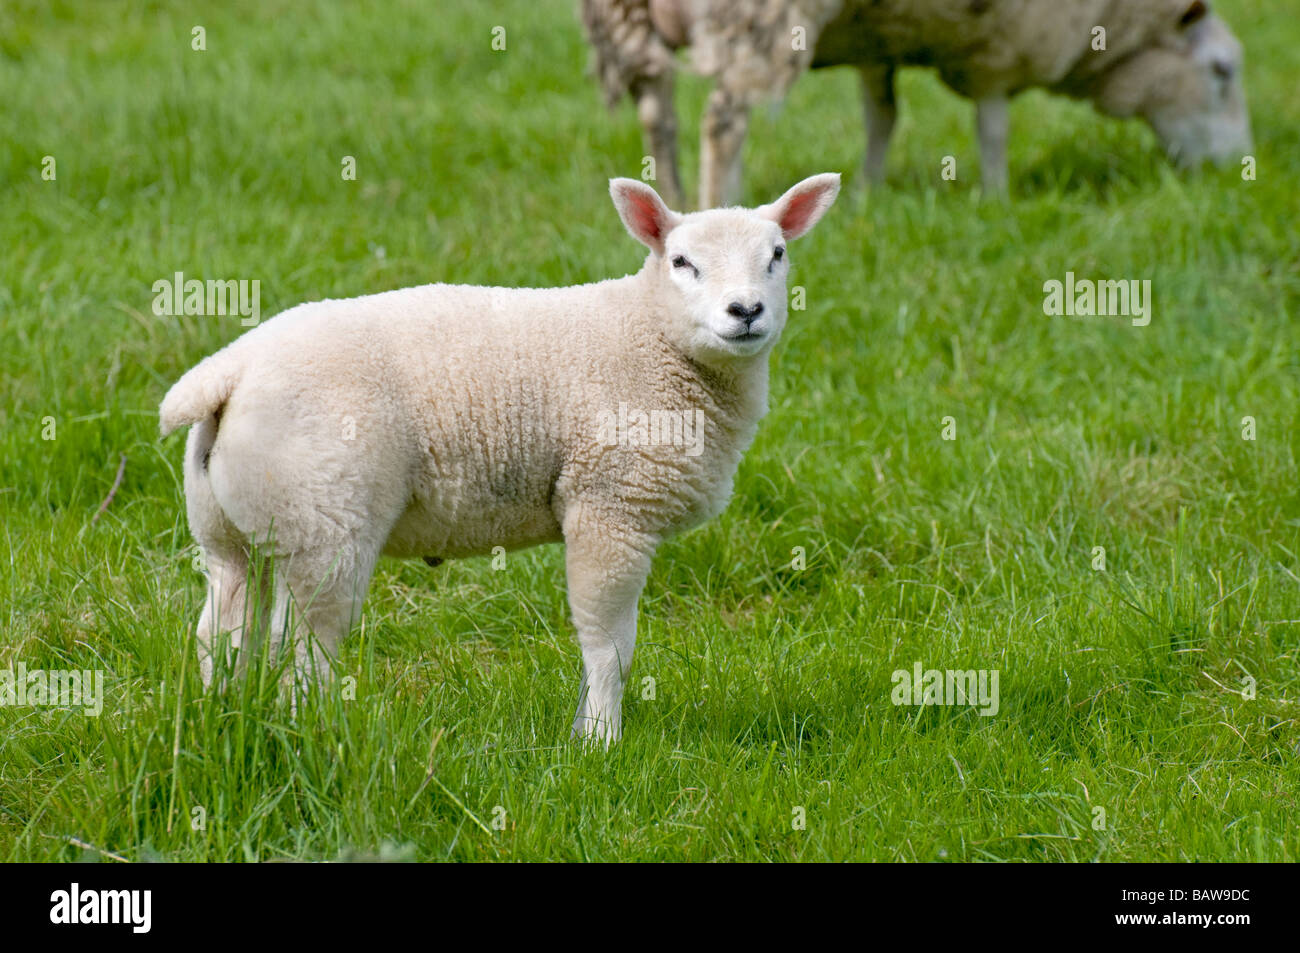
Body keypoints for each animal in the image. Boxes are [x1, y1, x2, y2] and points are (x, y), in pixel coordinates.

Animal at [159, 172, 841, 744]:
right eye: (681, 262)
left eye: (777, 255)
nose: (746, 311)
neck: (651, 337)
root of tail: (228, 370)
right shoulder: (611, 507)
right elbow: (610, 646)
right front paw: (600, 742)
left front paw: (585, 734)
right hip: (324, 521)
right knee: (302, 646)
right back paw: (316, 735)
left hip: (230, 528)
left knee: (223, 633)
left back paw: (221, 718)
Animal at [580, 0, 1254, 203]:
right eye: (1222, 72)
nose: (1233, 168)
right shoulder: (1000, 48)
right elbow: (993, 128)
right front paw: (997, 198)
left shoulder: (877, 40)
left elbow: (882, 116)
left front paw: (868, 191)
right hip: (755, 21)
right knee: (722, 122)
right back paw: (720, 208)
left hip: (627, 19)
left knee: (657, 113)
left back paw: (672, 201)